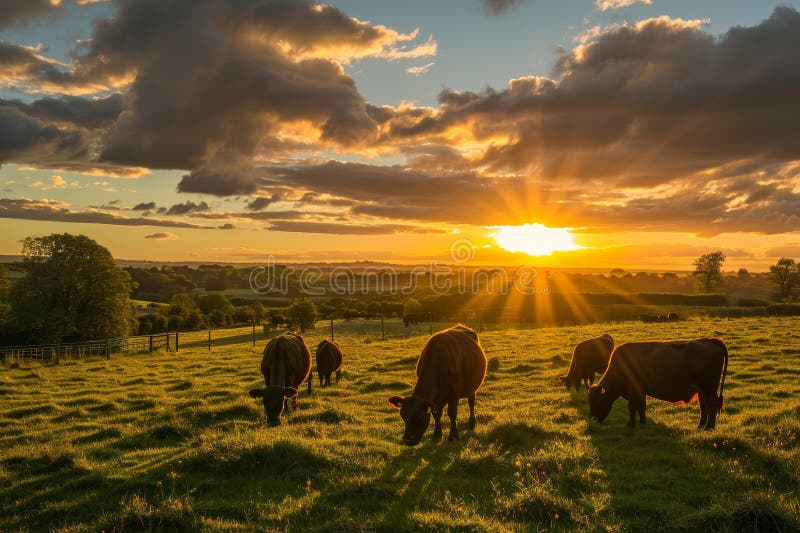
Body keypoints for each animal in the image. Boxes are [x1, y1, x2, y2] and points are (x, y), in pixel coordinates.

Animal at [588, 338, 728, 430]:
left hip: (708, 388)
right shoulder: (641, 392)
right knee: (703, 406)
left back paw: (709, 428)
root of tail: (709, 340)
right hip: (702, 390)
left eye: (596, 401)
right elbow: (641, 407)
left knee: (712, 405)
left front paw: (630, 425)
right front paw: (642, 423)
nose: (592, 419)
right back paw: (700, 426)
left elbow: (632, 407)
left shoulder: (634, 392)